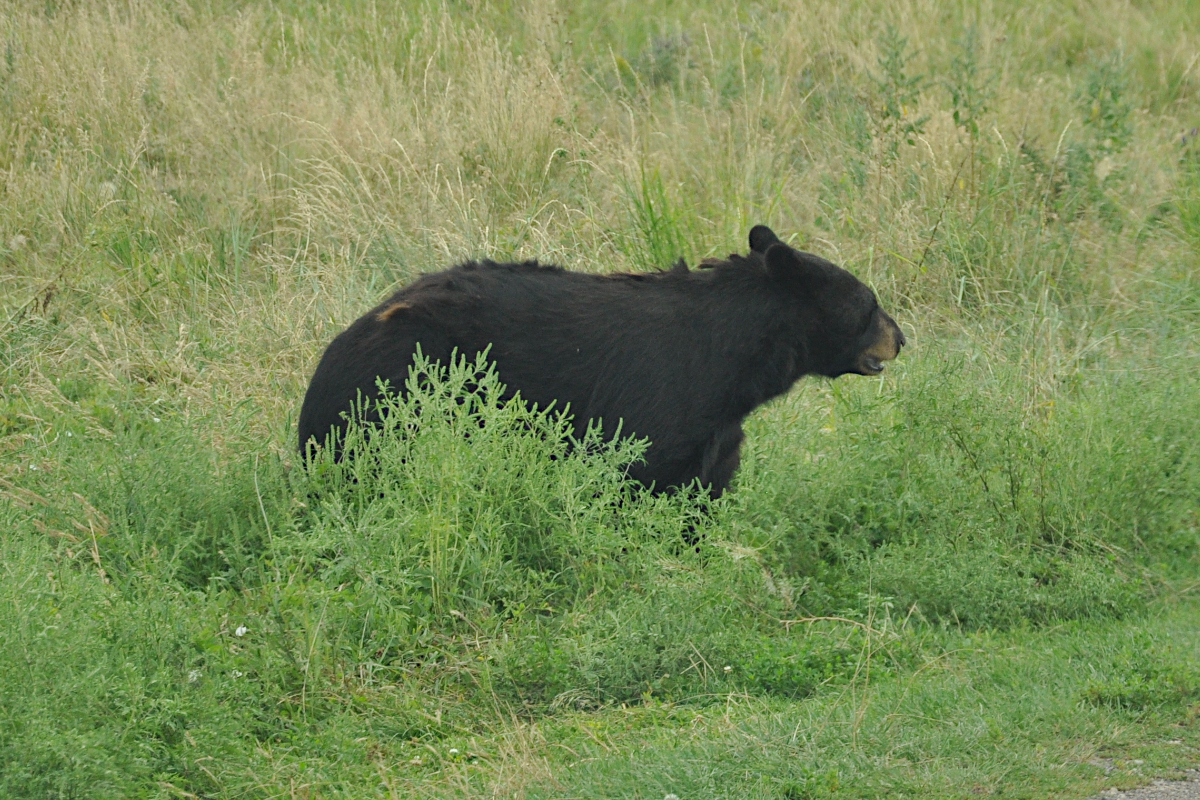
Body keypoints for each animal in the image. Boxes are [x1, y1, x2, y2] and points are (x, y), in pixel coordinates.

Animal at [298, 225, 904, 498]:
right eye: (869, 304)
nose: (900, 339)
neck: (735, 355)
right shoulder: (663, 395)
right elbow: (636, 471)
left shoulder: (718, 424)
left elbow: (707, 485)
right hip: (391, 401)